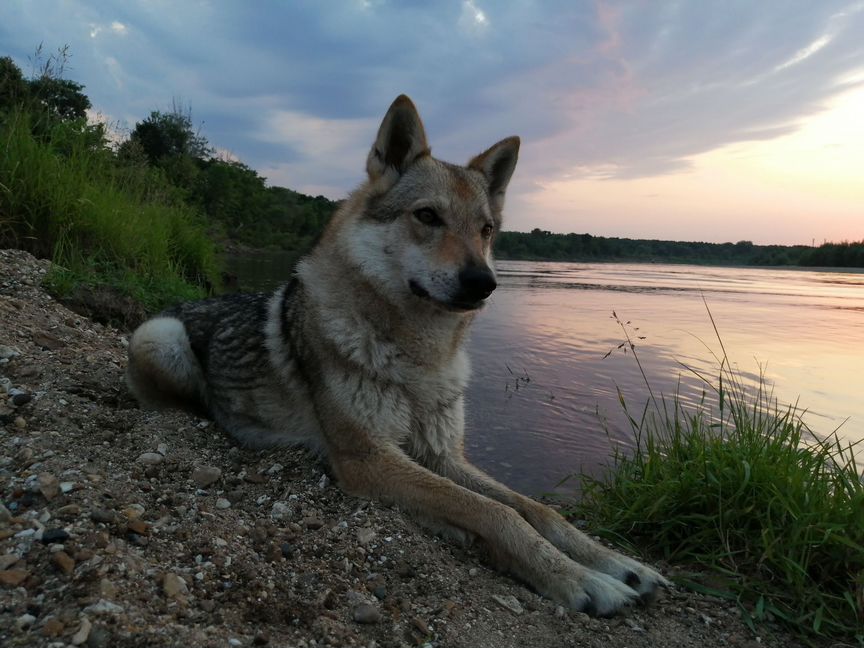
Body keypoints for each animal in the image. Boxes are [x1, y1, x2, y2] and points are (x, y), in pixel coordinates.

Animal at [128, 93, 668, 616]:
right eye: (427, 216)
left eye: (486, 230)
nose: (485, 283)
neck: (420, 359)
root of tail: (185, 301)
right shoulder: (370, 457)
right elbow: (496, 511)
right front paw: (579, 580)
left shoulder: (442, 454)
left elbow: (536, 508)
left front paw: (617, 564)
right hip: (161, 338)